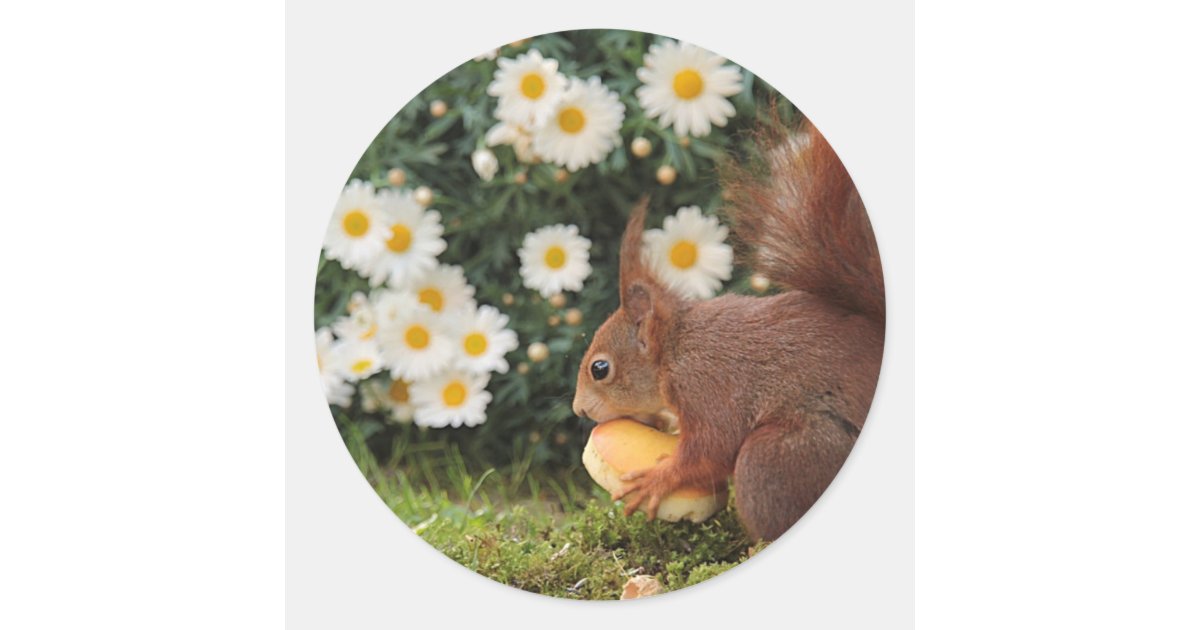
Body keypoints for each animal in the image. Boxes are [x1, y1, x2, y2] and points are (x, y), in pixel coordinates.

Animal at [571, 121, 885, 541]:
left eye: (600, 369)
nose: (579, 409)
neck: (676, 350)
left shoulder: (708, 386)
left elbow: (711, 448)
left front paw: (657, 480)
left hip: (776, 460)